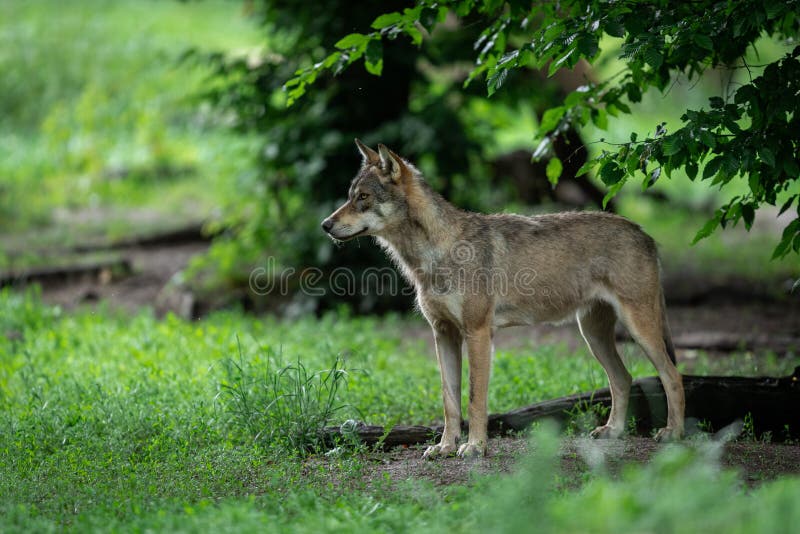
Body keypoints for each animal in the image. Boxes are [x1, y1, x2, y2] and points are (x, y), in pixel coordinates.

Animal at [321, 139, 685, 458]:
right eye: (350, 196)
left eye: (363, 197)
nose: (325, 225)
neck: (436, 254)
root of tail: (645, 233)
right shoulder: (443, 335)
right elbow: (449, 401)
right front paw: (445, 447)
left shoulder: (479, 334)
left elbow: (474, 399)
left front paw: (474, 448)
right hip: (593, 335)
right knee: (623, 379)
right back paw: (614, 431)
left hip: (639, 330)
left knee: (672, 376)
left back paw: (674, 434)